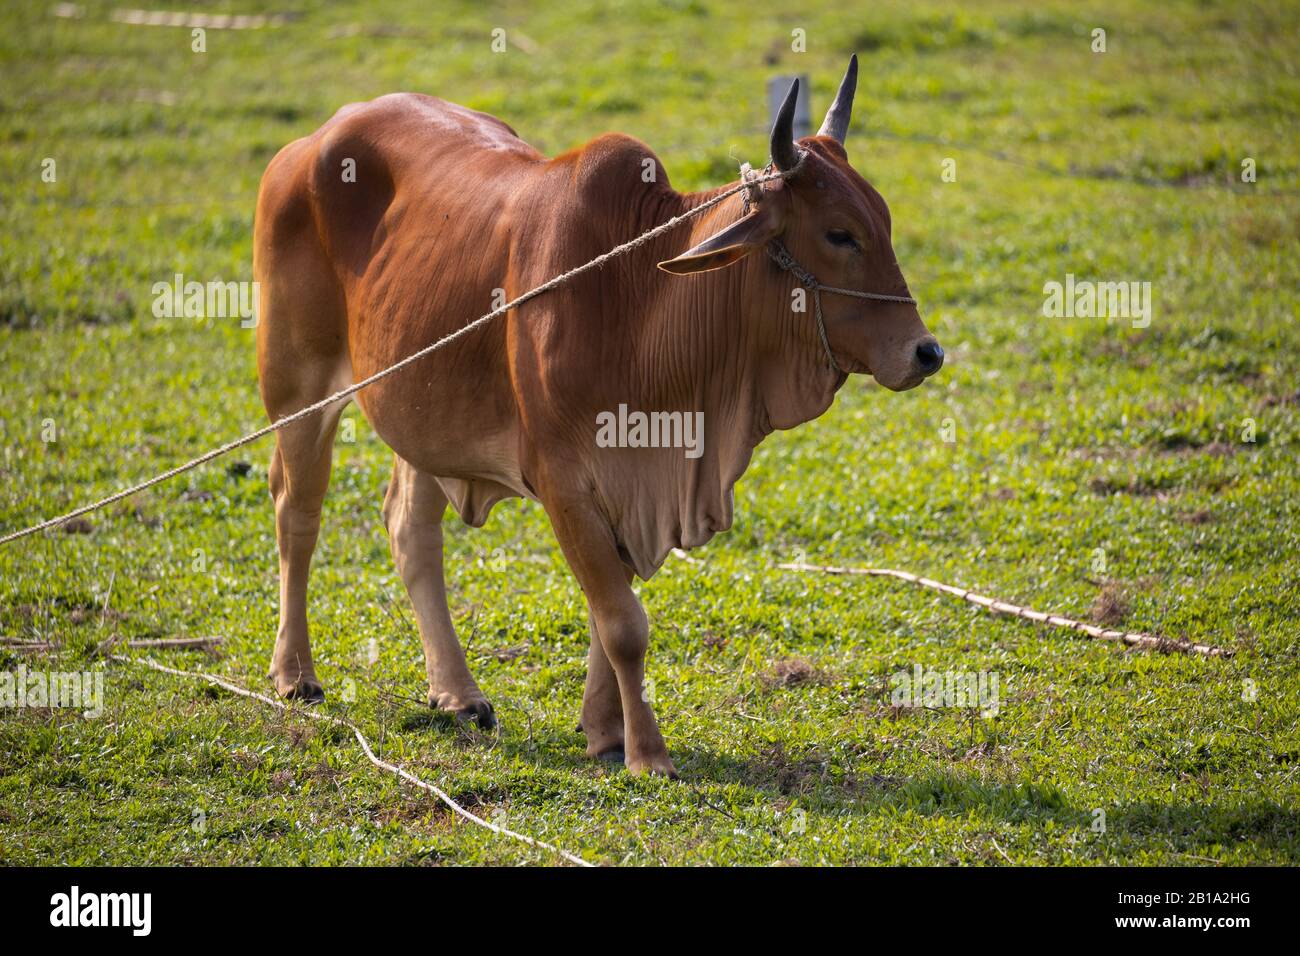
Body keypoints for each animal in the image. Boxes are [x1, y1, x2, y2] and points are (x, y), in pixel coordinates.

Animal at [253, 56, 942, 777]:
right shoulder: (565, 482)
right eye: (839, 233)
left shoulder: (631, 483)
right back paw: (295, 674)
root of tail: (315, 139)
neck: (639, 300)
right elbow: (623, 624)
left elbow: (604, 614)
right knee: (297, 514)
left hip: (420, 414)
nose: (926, 352)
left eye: (884, 219)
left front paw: (605, 732)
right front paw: (649, 754)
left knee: (410, 531)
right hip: (298, 386)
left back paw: (457, 692)